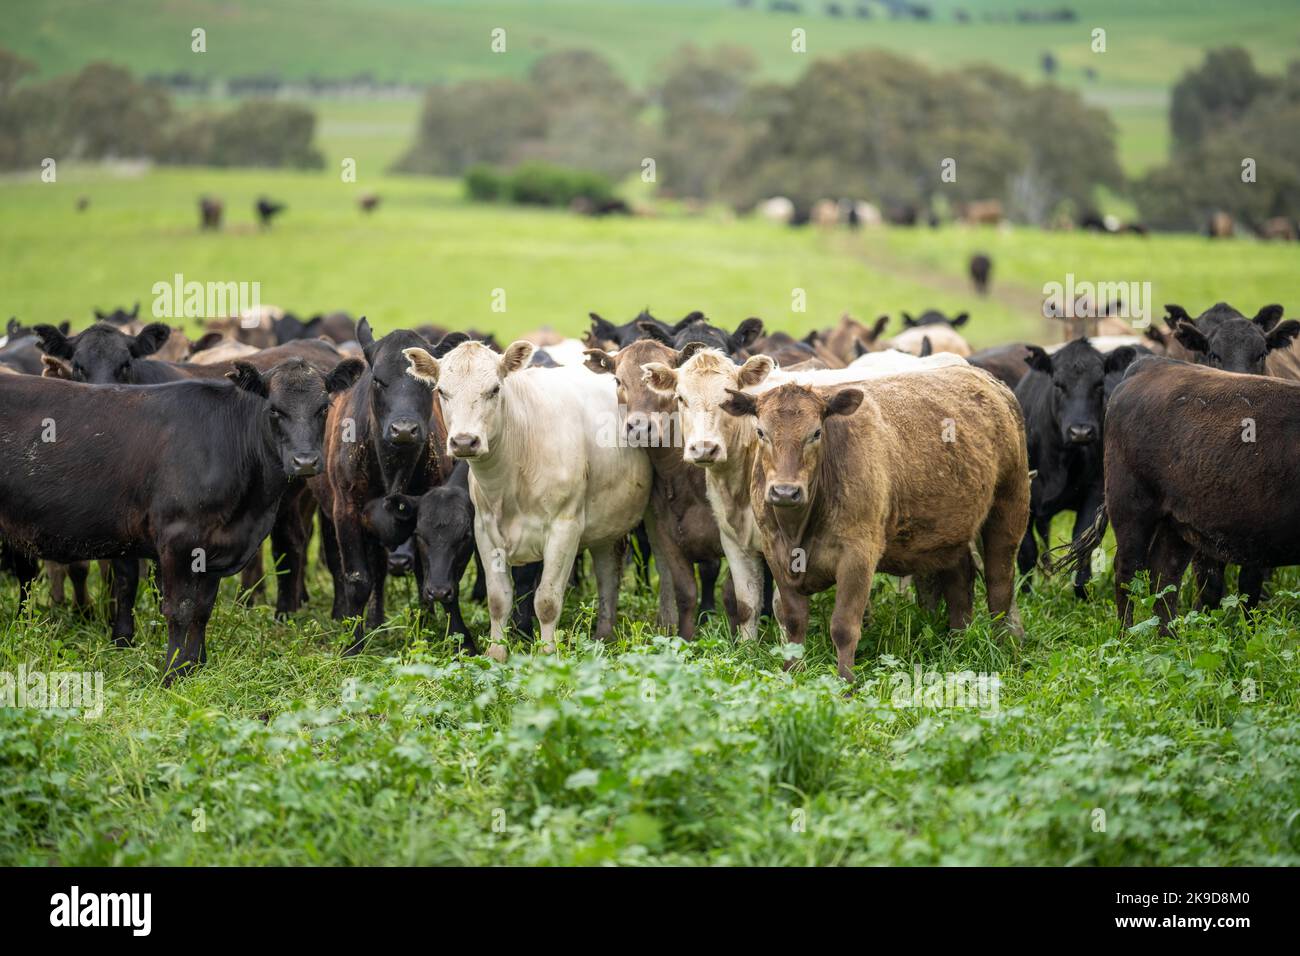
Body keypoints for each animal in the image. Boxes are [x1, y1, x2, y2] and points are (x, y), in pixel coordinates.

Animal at [0, 357, 363, 680]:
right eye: (274, 409)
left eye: (323, 408)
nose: (305, 461)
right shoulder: (178, 540)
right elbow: (180, 609)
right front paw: (172, 672)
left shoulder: (215, 547)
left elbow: (202, 610)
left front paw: (197, 665)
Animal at [401, 339, 652, 659]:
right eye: (442, 391)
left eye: (494, 389)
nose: (464, 441)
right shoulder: (484, 531)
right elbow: (498, 599)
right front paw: (496, 653)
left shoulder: (564, 528)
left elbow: (546, 601)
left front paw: (547, 654)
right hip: (607, 525)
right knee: (608, 572)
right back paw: (604, 634)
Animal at [717, 366, 1028, 681]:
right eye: (760, 432)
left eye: (816, 433)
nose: (784, 491)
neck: (797, 530)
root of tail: (984, 378)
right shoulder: (776, 554)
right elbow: (793, 621)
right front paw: (792, 673)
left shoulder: (858, 555)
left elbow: (844, 627)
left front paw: (845, 682)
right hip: (949, 529)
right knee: (960, 579)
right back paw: (958, 644)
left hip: (1010, 507)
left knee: (999, 584)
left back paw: (1004, 647)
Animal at [1015, 338, 1139, 597]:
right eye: (1058, 384)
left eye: (1099, 383)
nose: (1081, 431)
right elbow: (1027, 550)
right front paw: (1025, 593)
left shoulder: (1095, 491)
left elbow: (1081, 543)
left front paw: (1082, 593)